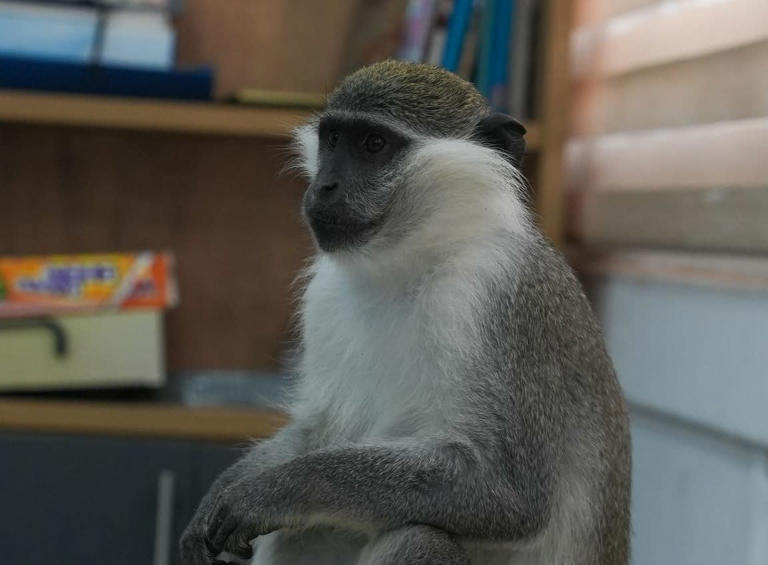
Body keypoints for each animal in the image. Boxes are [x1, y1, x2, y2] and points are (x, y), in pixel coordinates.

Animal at [180, 60, 631, 565]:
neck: (412, 261)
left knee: (414, 535)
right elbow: (318, 427)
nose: (323, 186)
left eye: (373, 145)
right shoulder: (323, 298)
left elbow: (509, 494)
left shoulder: (502, 300)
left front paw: (272, 490)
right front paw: (226, 489)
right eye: (333, 139)